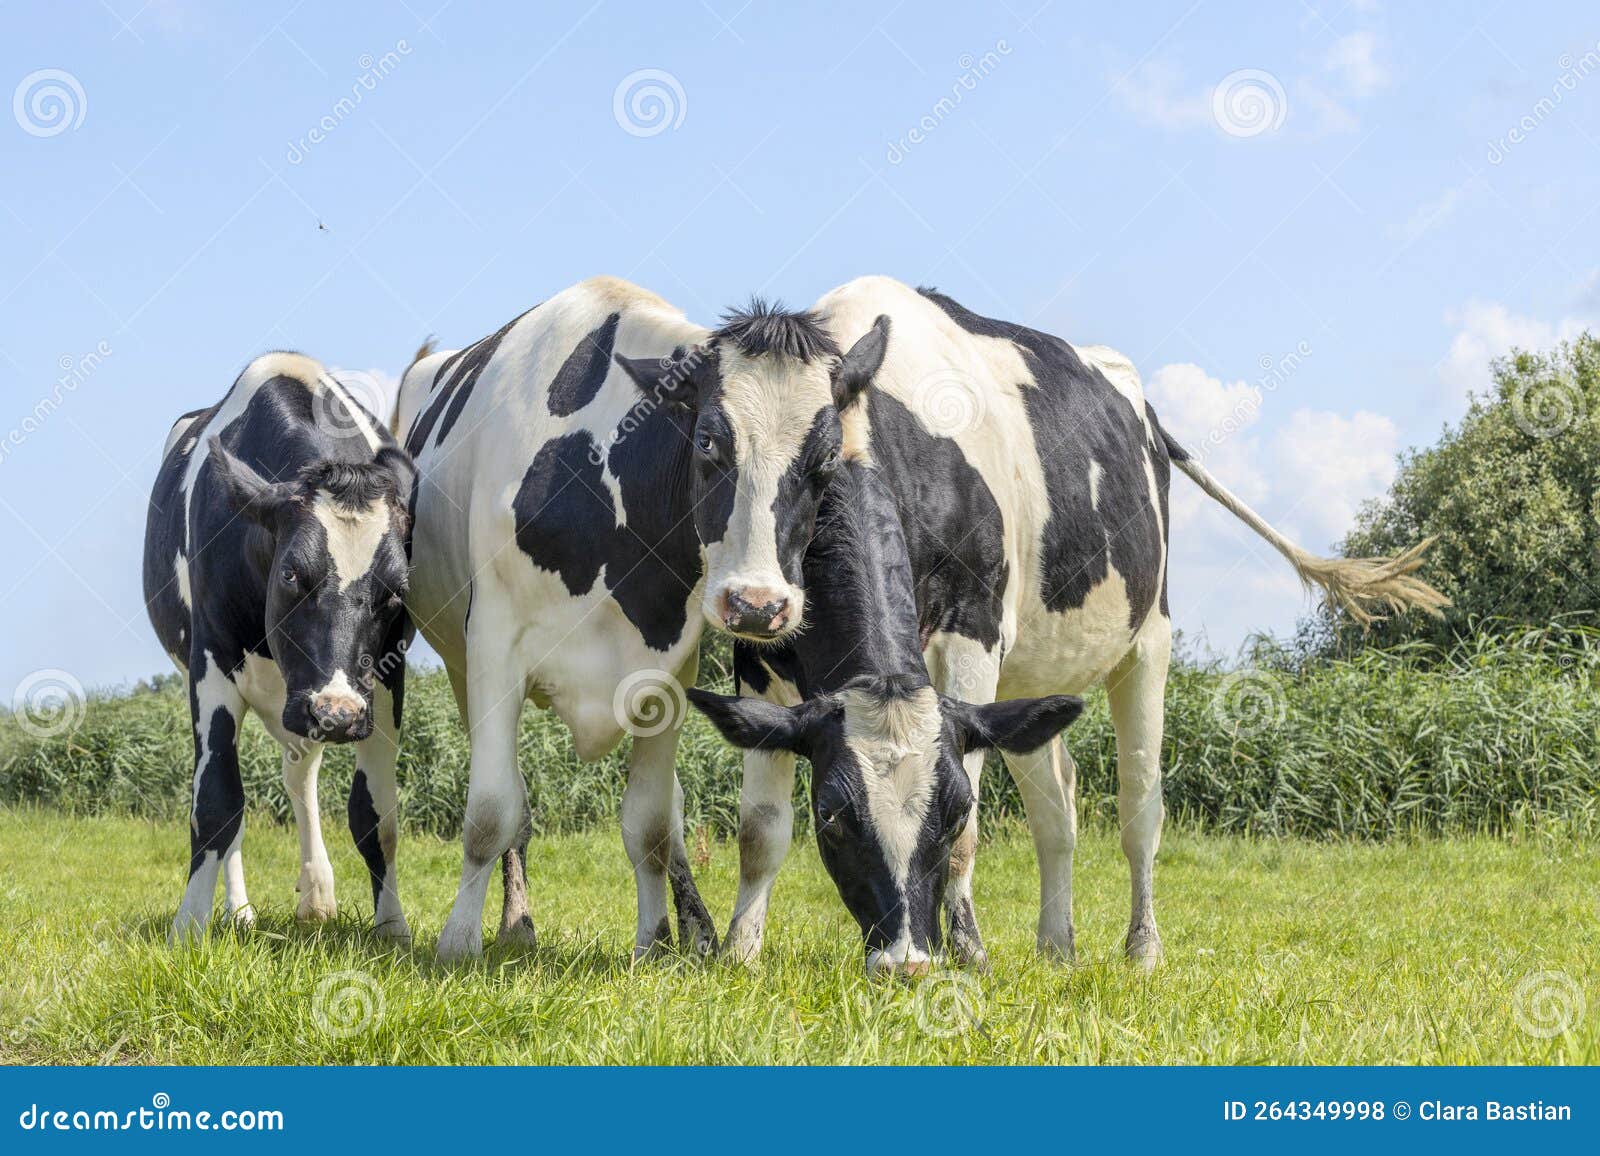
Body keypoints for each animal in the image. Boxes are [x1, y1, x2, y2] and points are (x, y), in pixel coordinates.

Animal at [143, 353, 417, 942]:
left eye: (396, 589)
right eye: (291, 572)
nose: (337, 713)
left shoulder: (384, 678)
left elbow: (376, 813)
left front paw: (392, 926)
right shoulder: (209, 662)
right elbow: (217, 800)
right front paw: (189, 927)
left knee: (299, 773)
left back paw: (315, 894)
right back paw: (239, 911)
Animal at [392, 276, 901, 962]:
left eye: (824, 457)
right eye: (707, 439)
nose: (757, 605)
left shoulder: (665, 674)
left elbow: (653, 824)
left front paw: (655, 941)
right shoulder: (493, 649)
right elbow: (491, 811)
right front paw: (457, 942)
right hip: (456, 663)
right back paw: (515, 922)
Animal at [689, 452, 1086, 973]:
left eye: (958, 811)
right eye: (829, 814)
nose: (907, 963)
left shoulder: (971, 635)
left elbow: (966, 846)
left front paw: (971, 954)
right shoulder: (756, 665)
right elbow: (761, 830)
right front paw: (739, 953)